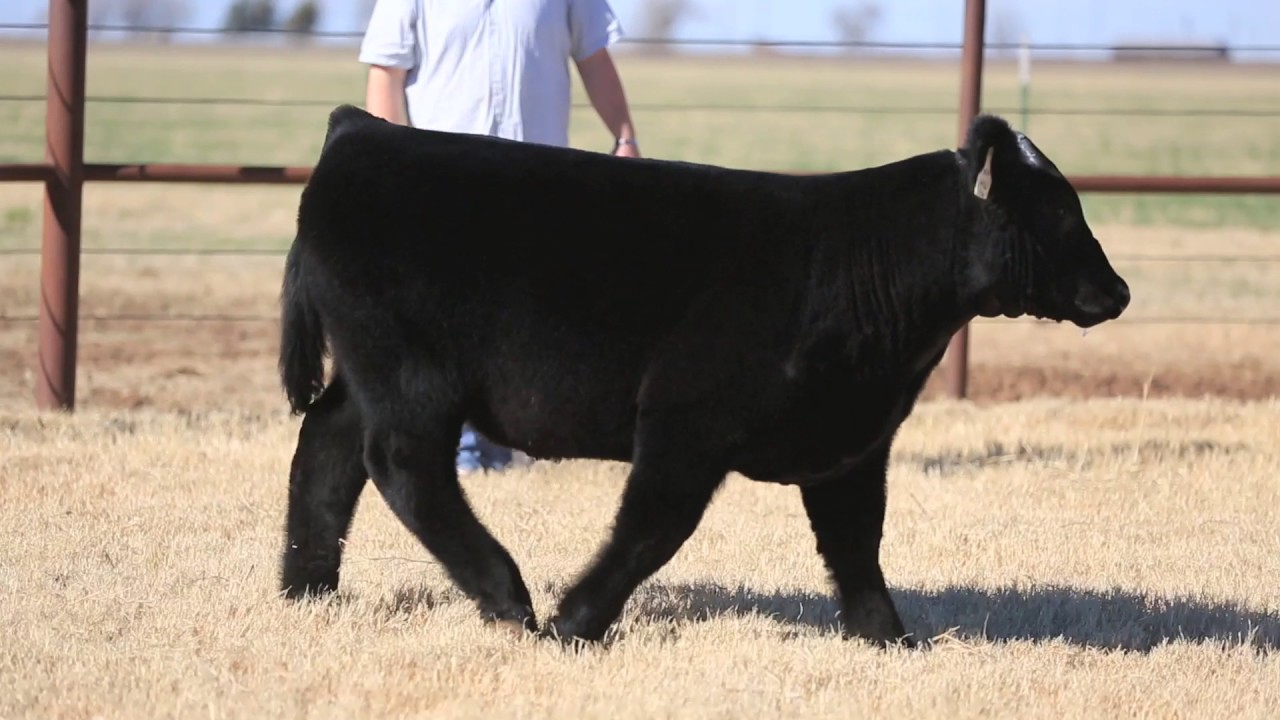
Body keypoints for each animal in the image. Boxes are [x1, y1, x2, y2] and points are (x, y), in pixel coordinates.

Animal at [276, 104, 1130, 649]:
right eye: (1059, 213)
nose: (1117, 291)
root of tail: (363, 131)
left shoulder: (852, 444)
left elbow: (856, 544)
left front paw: (888, 639)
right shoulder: (684, 424)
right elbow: (652, 527)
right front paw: (575, 623)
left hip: (367, 375)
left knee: (327, 448)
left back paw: (307, 589)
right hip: (409, 373)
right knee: (402, 464)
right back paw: (506, 596)